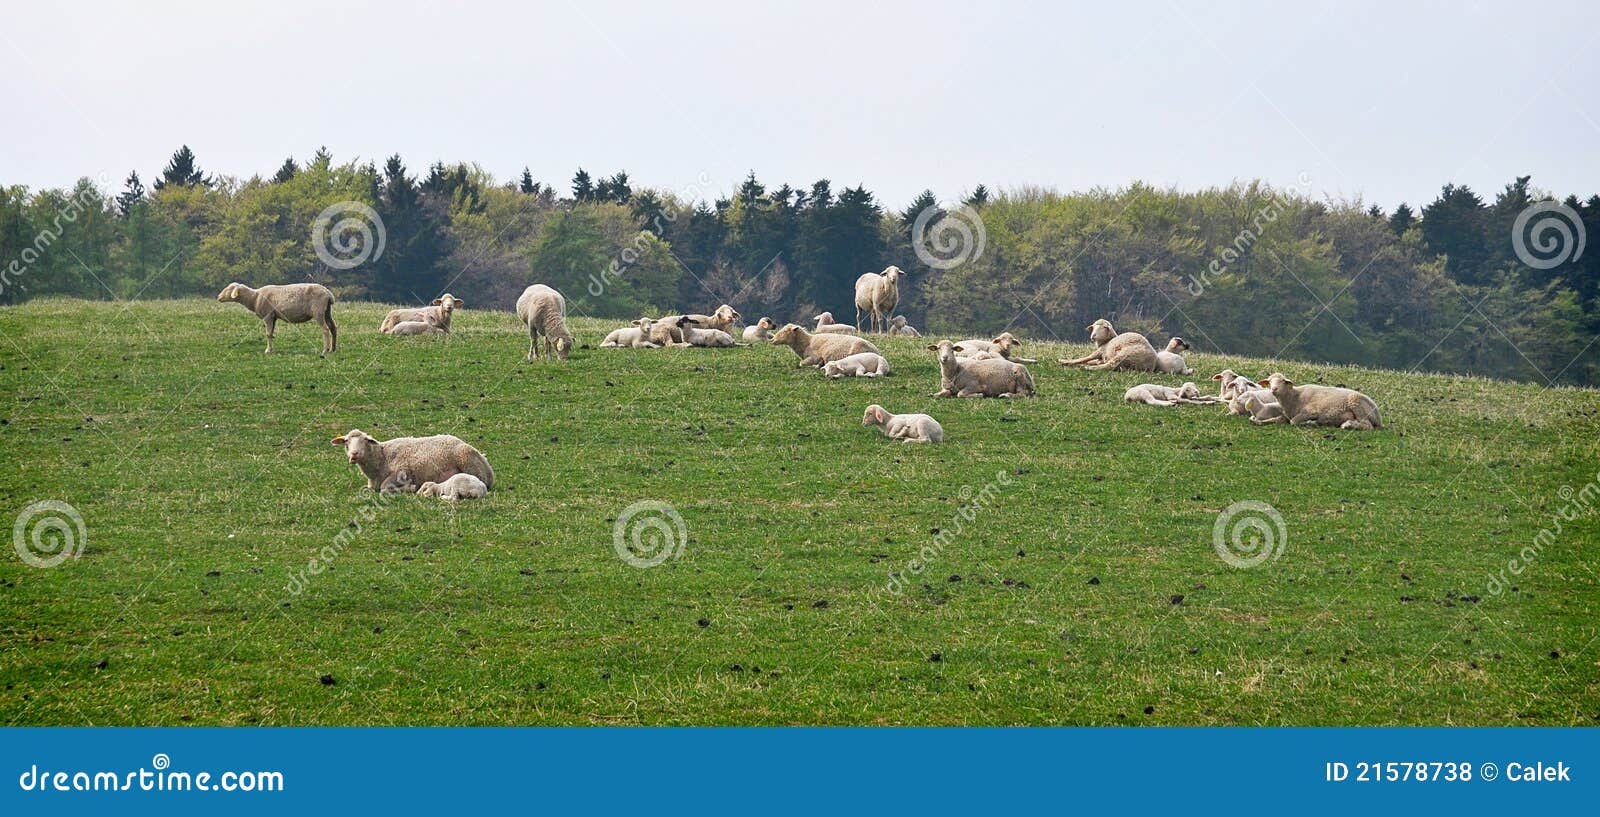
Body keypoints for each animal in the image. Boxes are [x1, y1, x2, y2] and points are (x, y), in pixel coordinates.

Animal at [332, 429, 495, 494]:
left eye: (365, 440)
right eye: (346, 442)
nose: (354, 454)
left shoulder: (401, 472)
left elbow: (385, 487)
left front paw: (410, 488)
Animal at [1251, 373, 1382, 430]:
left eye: (1283, 381)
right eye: (1269, 382)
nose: (1274, 389)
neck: (1294, 397)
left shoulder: (1311, 411)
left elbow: (1293, 422)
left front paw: (1309, 423)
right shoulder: (1285, 416)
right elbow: (1274, 420)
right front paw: (1258, 421)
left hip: (1356, 404)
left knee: (1368, 425)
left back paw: (1348, 424)